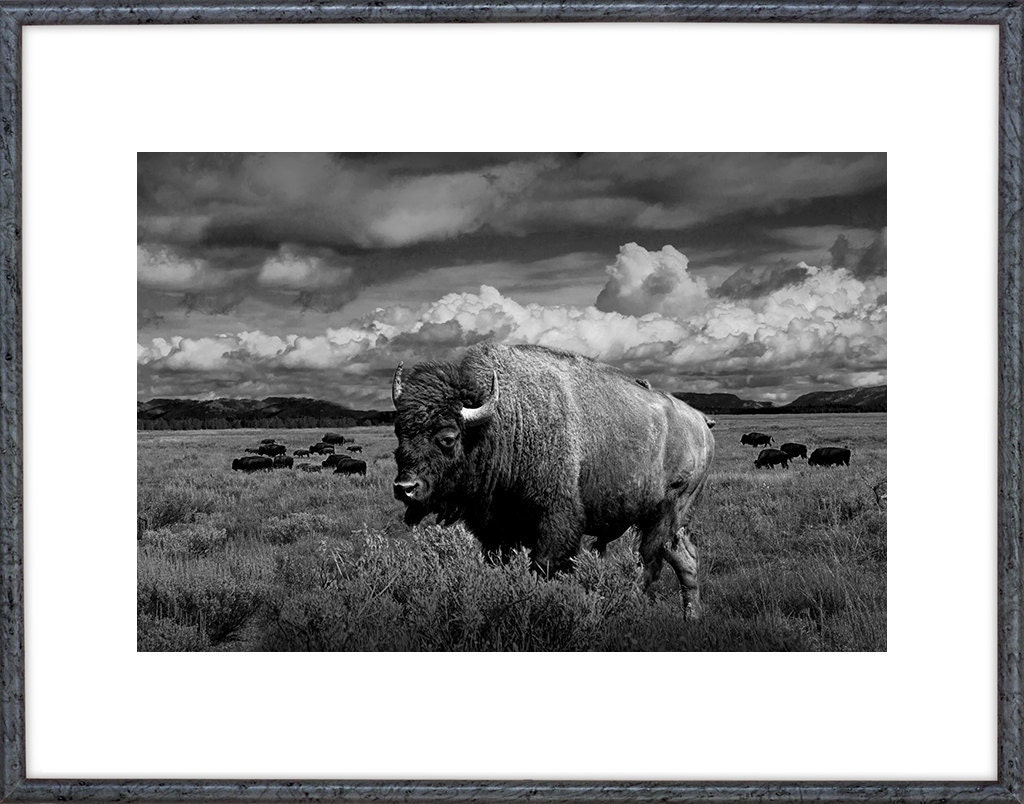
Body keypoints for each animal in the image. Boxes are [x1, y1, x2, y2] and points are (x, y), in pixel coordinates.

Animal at [391, 343, 714, 617]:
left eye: (448, 437)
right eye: (398, 431)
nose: (405, 488)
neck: (505, 421)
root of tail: (701, 423)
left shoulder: (555, 523)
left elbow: (545, 567)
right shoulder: (496, 529)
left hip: (665, 513)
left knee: (648, 563)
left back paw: (629, 605)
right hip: (665, 519)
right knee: (684, 557)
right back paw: (691, 616)